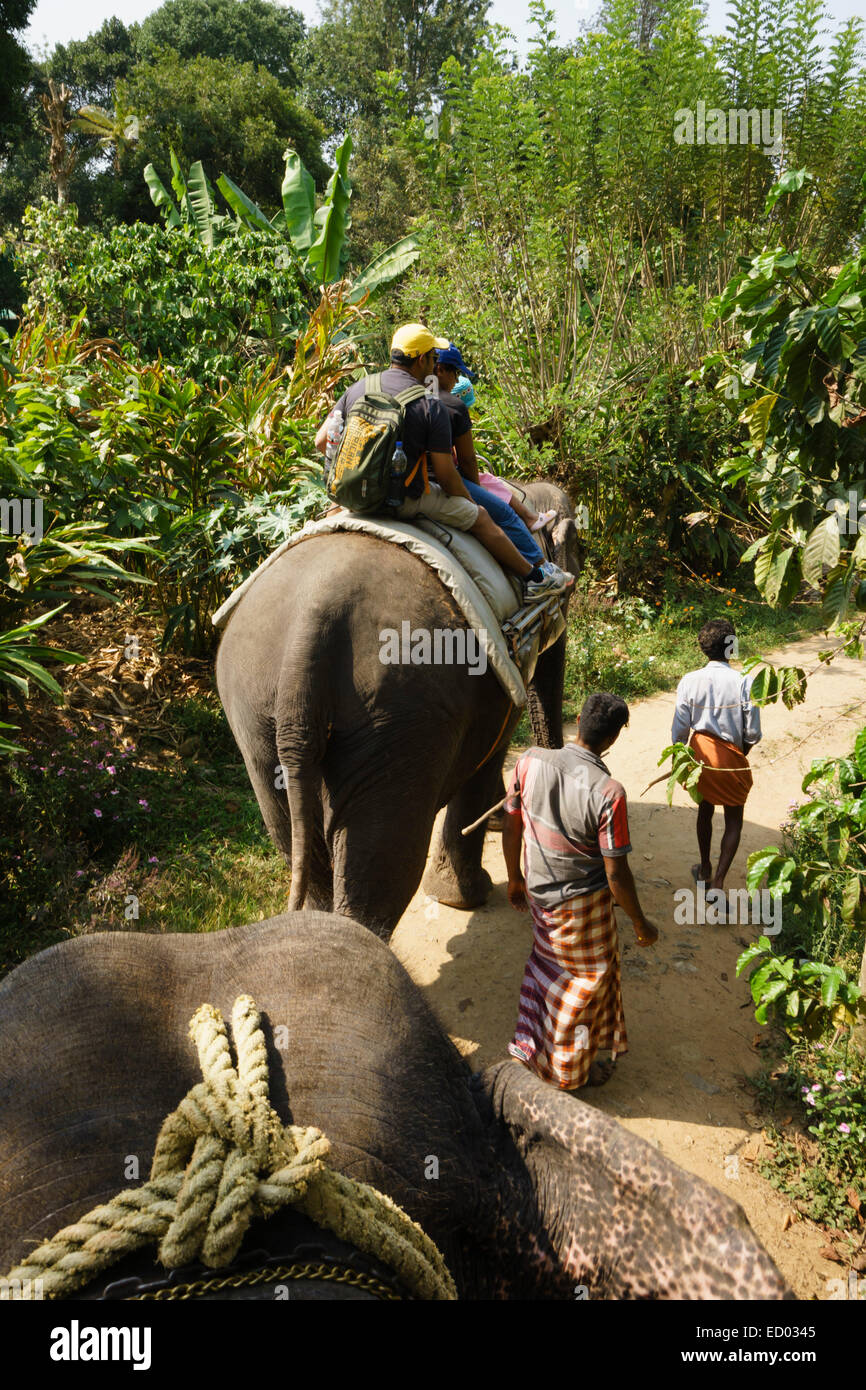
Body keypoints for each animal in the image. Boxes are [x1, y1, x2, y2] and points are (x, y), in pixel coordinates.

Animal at [215, 481, 582, 937]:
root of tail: (308, 630)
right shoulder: (504, 666)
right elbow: (487, 755)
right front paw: (463, 896)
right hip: (400, 714)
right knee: (385, 865)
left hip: (257, 720)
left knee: (297, 842)